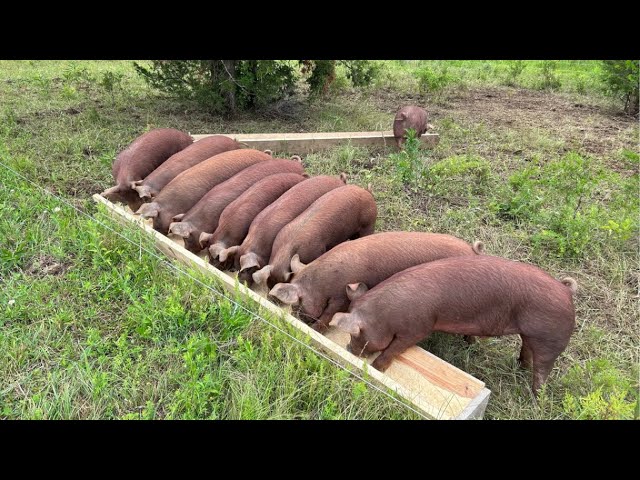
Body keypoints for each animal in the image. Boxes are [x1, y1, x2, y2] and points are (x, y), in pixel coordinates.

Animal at [269, 232, 484, 331]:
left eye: (298, 301)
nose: (298, 317)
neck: (324, 282)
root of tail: (471, 251)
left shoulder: (340, 297)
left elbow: (329, 314)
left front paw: (316, 328)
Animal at [329, 255, 578, 395]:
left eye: (356, 334)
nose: (349, 349)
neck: (386, 315)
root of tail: (566, 291)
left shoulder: (418, 327)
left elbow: (394, 349)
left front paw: (376, 368)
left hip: (550, 339)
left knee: (542, 370)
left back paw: (535, 396)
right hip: (531, 336)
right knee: (527, 352)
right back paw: (520, 367)